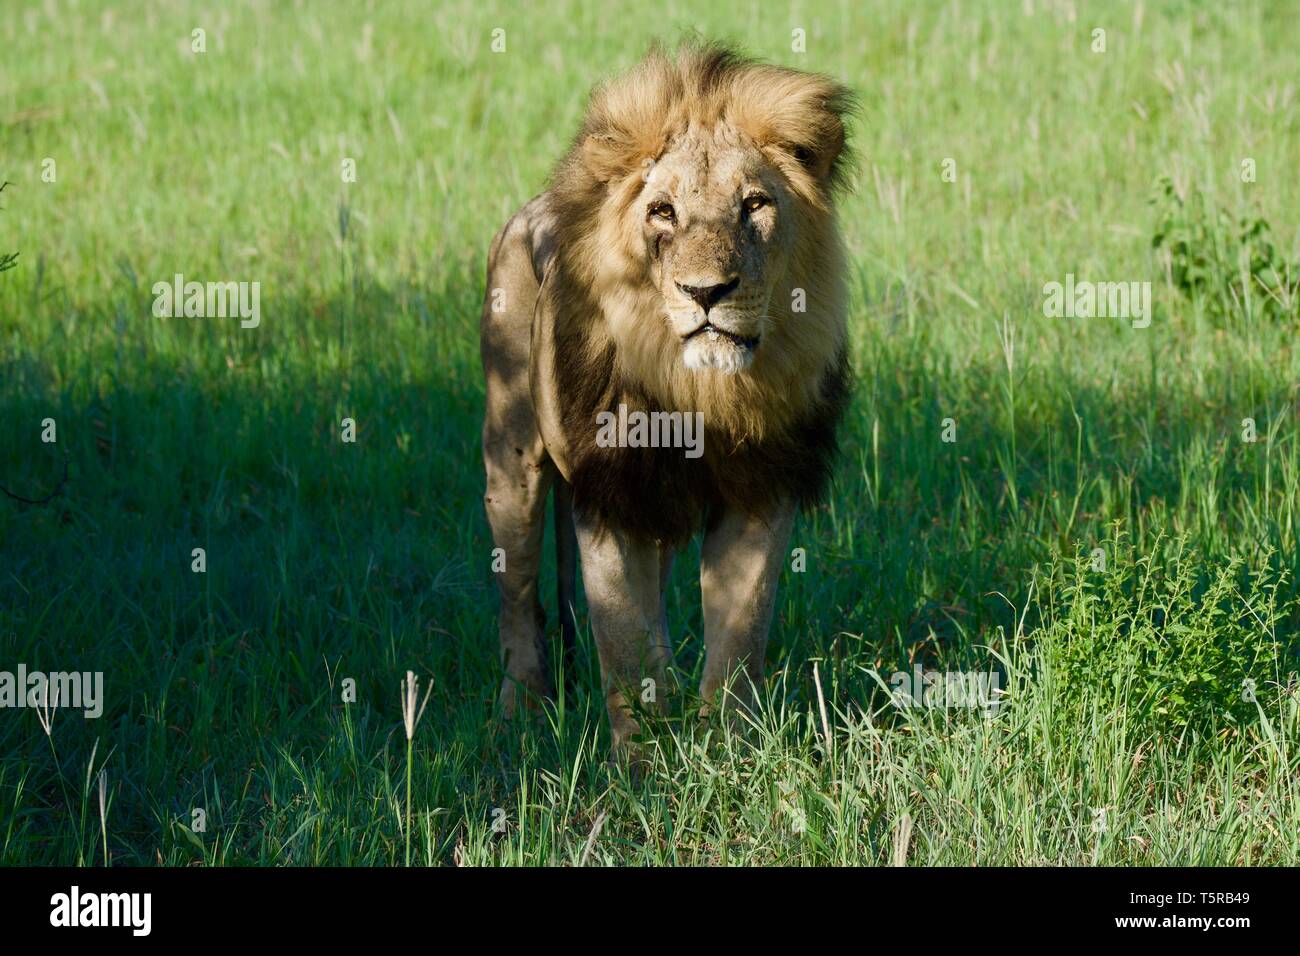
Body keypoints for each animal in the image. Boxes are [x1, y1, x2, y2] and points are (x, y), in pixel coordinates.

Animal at [480, 41, 854, 755]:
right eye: (662, 212)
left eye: (754, 205)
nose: (706, 292)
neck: (699, 393)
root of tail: (528, 209)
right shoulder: (608, 494)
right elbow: (622, 648)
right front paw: (640, 764)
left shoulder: (760, 490)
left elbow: (738, 637)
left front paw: (730, 752)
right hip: (511, 459)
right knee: (517, 592)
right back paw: (521, 707)